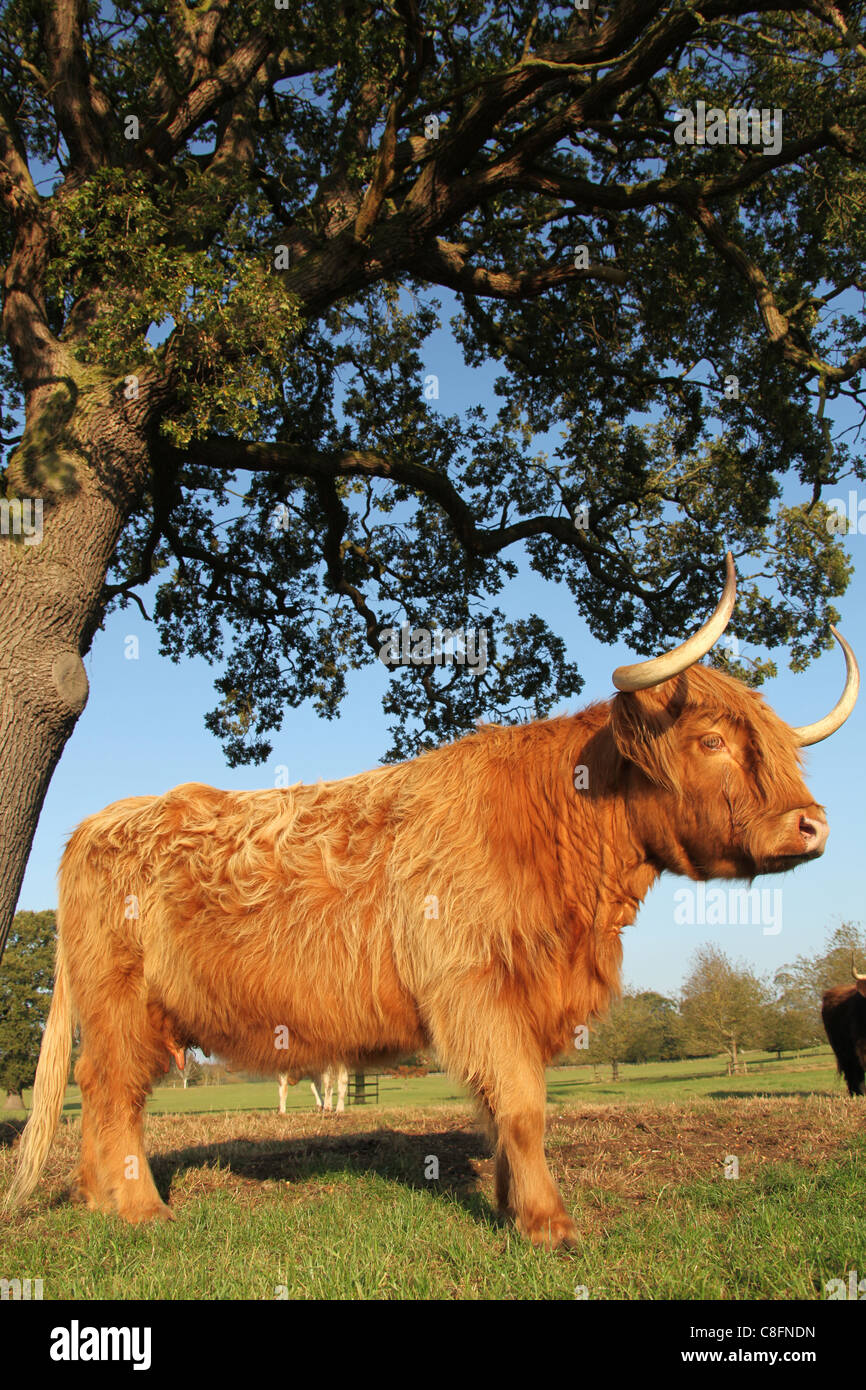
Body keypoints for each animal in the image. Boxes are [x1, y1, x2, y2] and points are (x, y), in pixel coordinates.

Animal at [4, 554, 858, 1247]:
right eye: (710, 741)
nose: (811, 824)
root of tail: (99, 819)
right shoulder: (474, 986)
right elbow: (521, 1104)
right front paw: (549, 1226)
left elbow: (505, 1112)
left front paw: (514, 1206)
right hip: (121, 999)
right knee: (114, 1091)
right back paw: (142, 1209)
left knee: (108, 1093)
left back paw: (100, 1203)